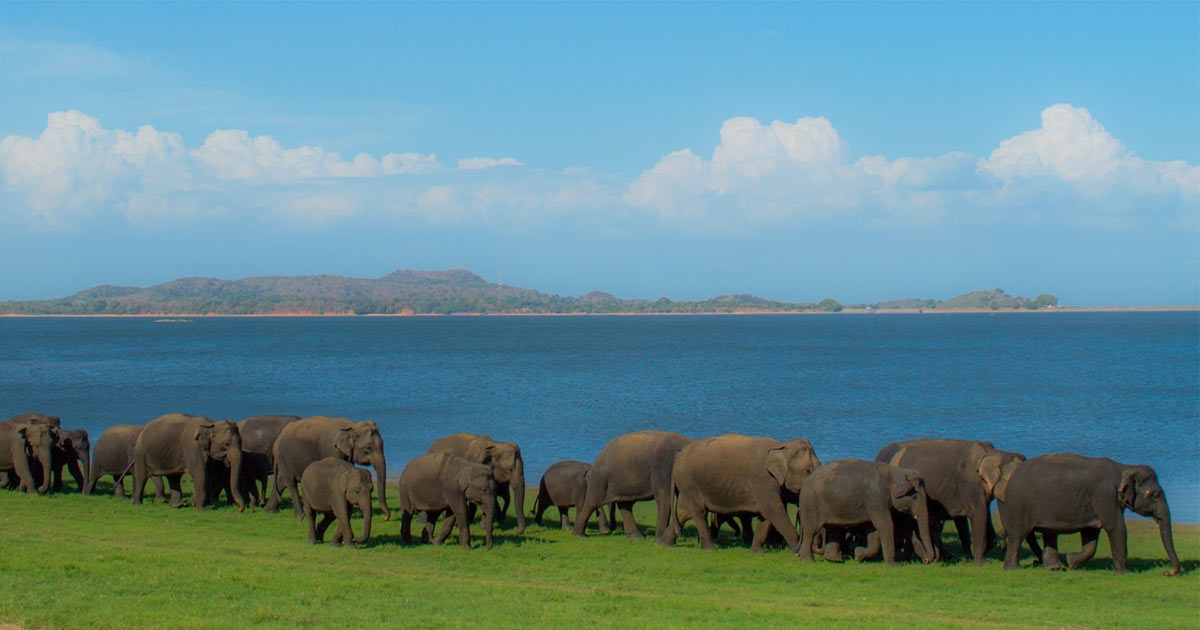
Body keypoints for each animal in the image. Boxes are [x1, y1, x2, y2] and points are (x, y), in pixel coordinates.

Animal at [670, 434, 821, 552]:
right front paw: (796, 551)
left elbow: (766, 516)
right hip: (689, 482)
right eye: (808, 471)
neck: (781, 445)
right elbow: (773, 511)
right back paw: (710, 548)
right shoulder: (762, 479)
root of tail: (679, 456)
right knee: (699, 513)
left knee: (682, 512)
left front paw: (757, 552)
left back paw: (667, 543)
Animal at [798, 459, 935, 566]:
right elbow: (885, 525)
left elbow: (873, 530)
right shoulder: (876, 497)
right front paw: (892, 566)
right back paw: (809, 561)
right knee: (811, 530)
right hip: (811, 504)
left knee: (834, 528)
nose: (926, 560)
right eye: (915, 497)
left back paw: (835, 560)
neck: (896, 471)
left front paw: (858, 555)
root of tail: (804, 484)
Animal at [875, 438, 1024, 564]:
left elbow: (985, 514)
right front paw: (981, 562)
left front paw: (972, 553)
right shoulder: (969, 485)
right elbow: (978, 514)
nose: (1004, 542)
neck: (994, 453)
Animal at [998, 453, 1181, 576]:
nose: (1167, 572)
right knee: (1018, 534)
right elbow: (1116, 527)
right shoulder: (1105, 496)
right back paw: (1013, 569)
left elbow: (1091, 536)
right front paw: (1125, 573)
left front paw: (1072, 562)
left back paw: (1057, 568)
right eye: (1156, 494)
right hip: (1019, 505)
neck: (1124, 467)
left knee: (1050, 534)